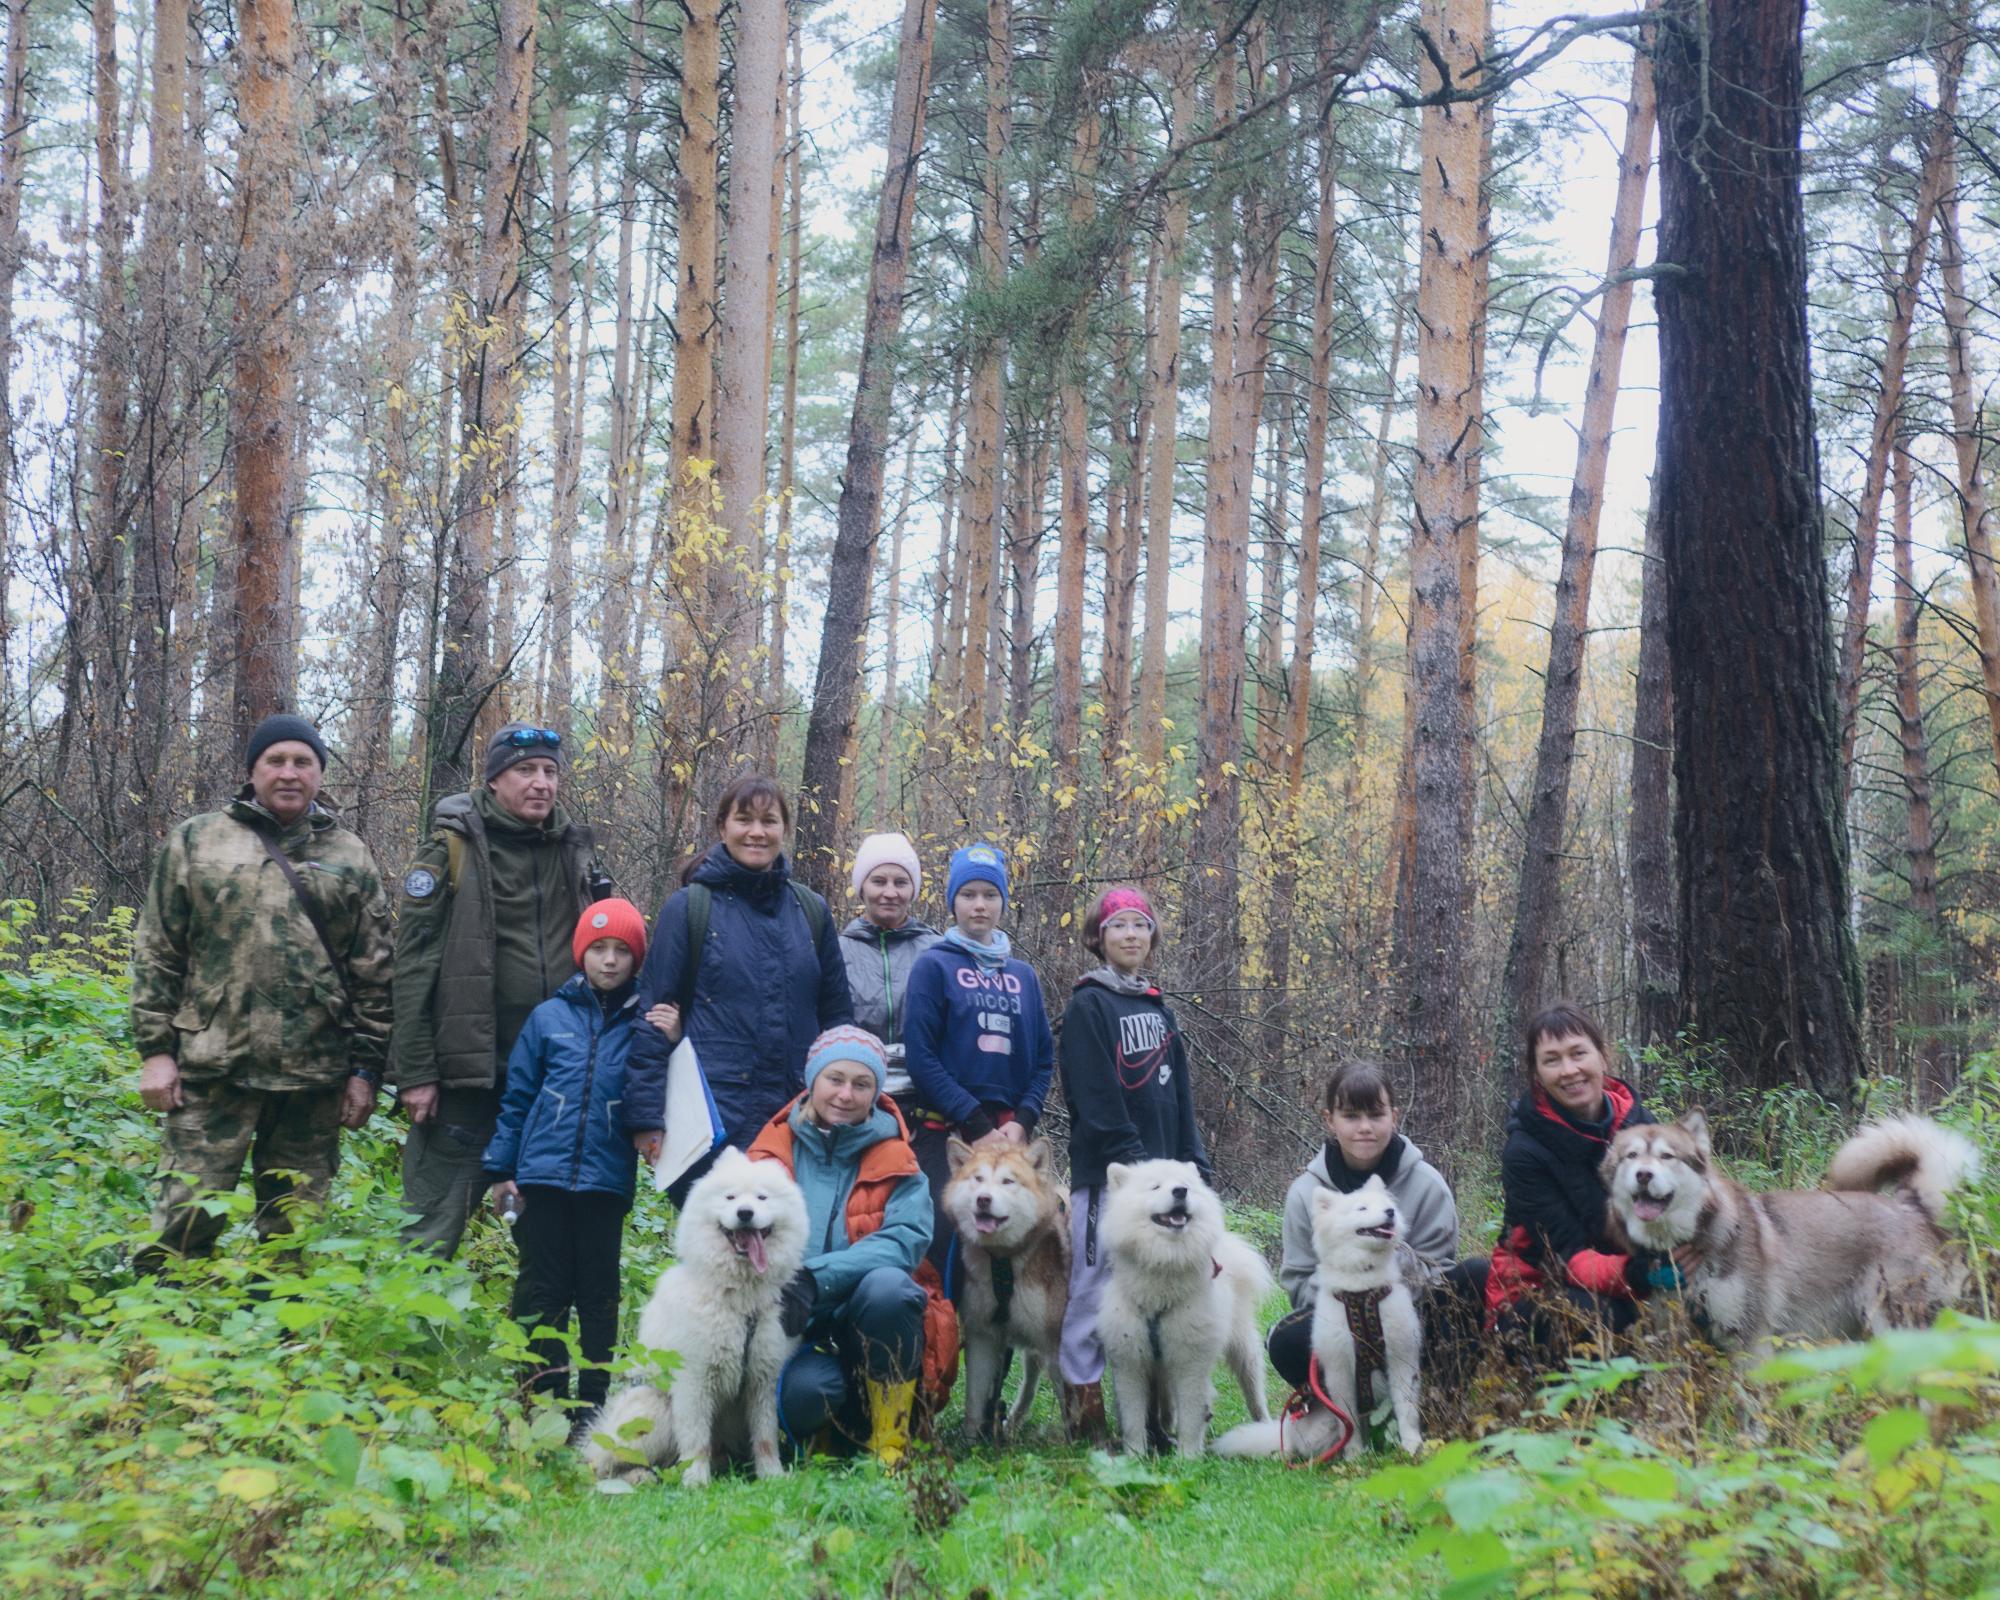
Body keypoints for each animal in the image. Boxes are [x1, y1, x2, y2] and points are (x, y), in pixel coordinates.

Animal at [580, 1144, 804, 1480]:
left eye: (762, 1198)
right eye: (730, 1197)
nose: (745, 1213)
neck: (739, 1301)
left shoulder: (763, 1379)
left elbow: (765, 1438)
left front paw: (772, 1476)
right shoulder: (694, 1378)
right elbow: (696, 1439)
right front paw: (696, 1481)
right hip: (653, 1410)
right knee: (605, 1461)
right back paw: (635, 1476)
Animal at [1096, 1160, 1264, 1456]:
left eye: (1185, 1185)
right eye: (1155, 1187)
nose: (1180, 1191)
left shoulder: (1190, 1356)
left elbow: (1192, 1410)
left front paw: (1187, 1456)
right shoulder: (1129, 1357)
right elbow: (1133, 1416)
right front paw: (1135, 1455)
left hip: (1241, 1344)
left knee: (1252, 1385)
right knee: (1165, 1397)